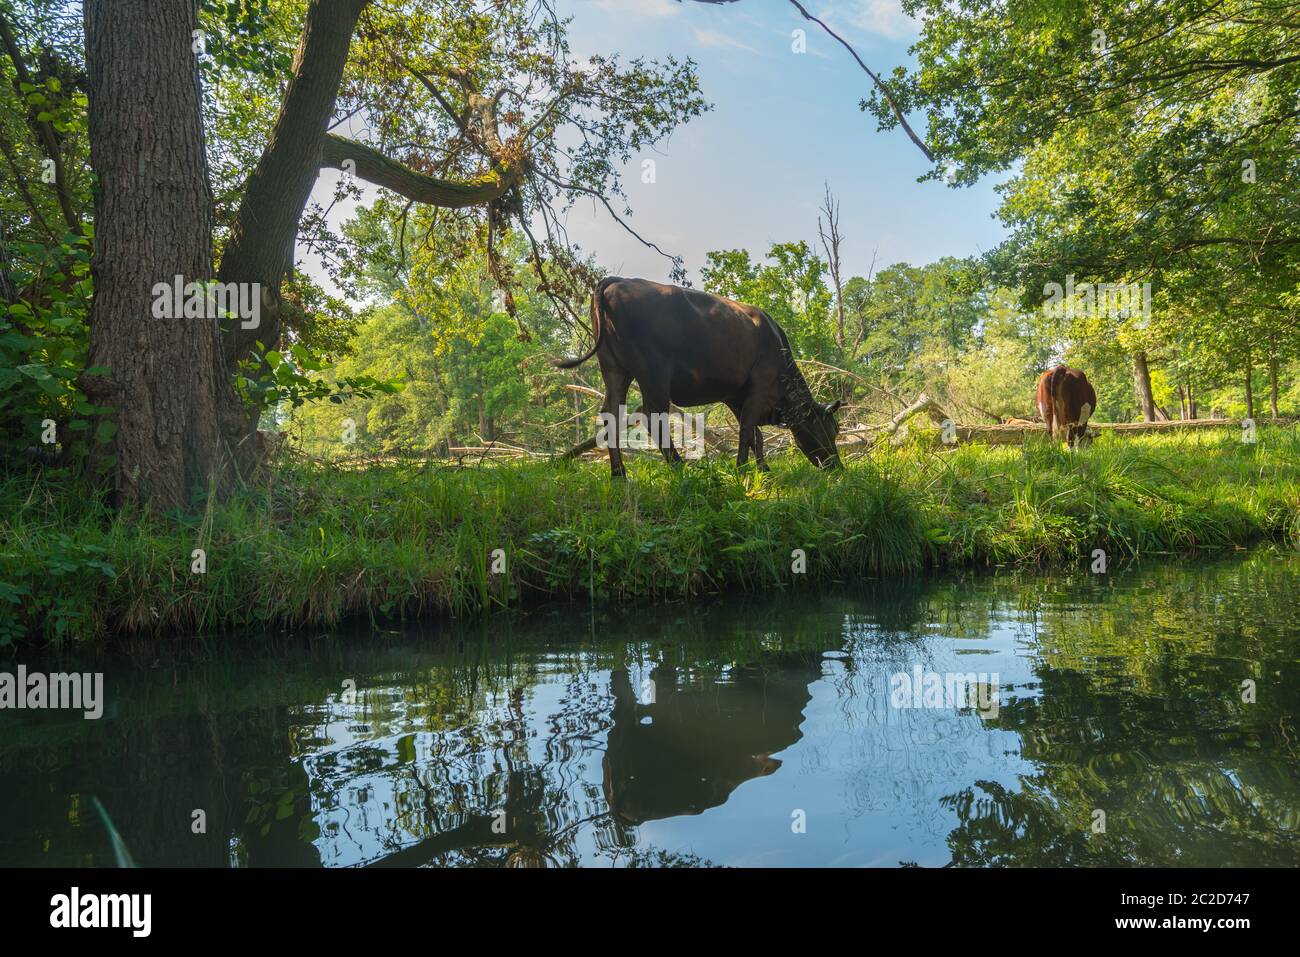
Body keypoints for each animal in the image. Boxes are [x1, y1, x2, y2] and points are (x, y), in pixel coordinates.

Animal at [554, 277, 844, 478]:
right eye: (831, 429)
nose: (838, 468)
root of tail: (617, 280)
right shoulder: (758, 390)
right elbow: (747, 433)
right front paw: (742, 470)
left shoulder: (736, 396)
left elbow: (756, 436)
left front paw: (763, 470)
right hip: (653, 373)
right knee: (653, 415)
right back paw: (679, 466)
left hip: (615, 369)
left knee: (611, 413)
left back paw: (619, 474)